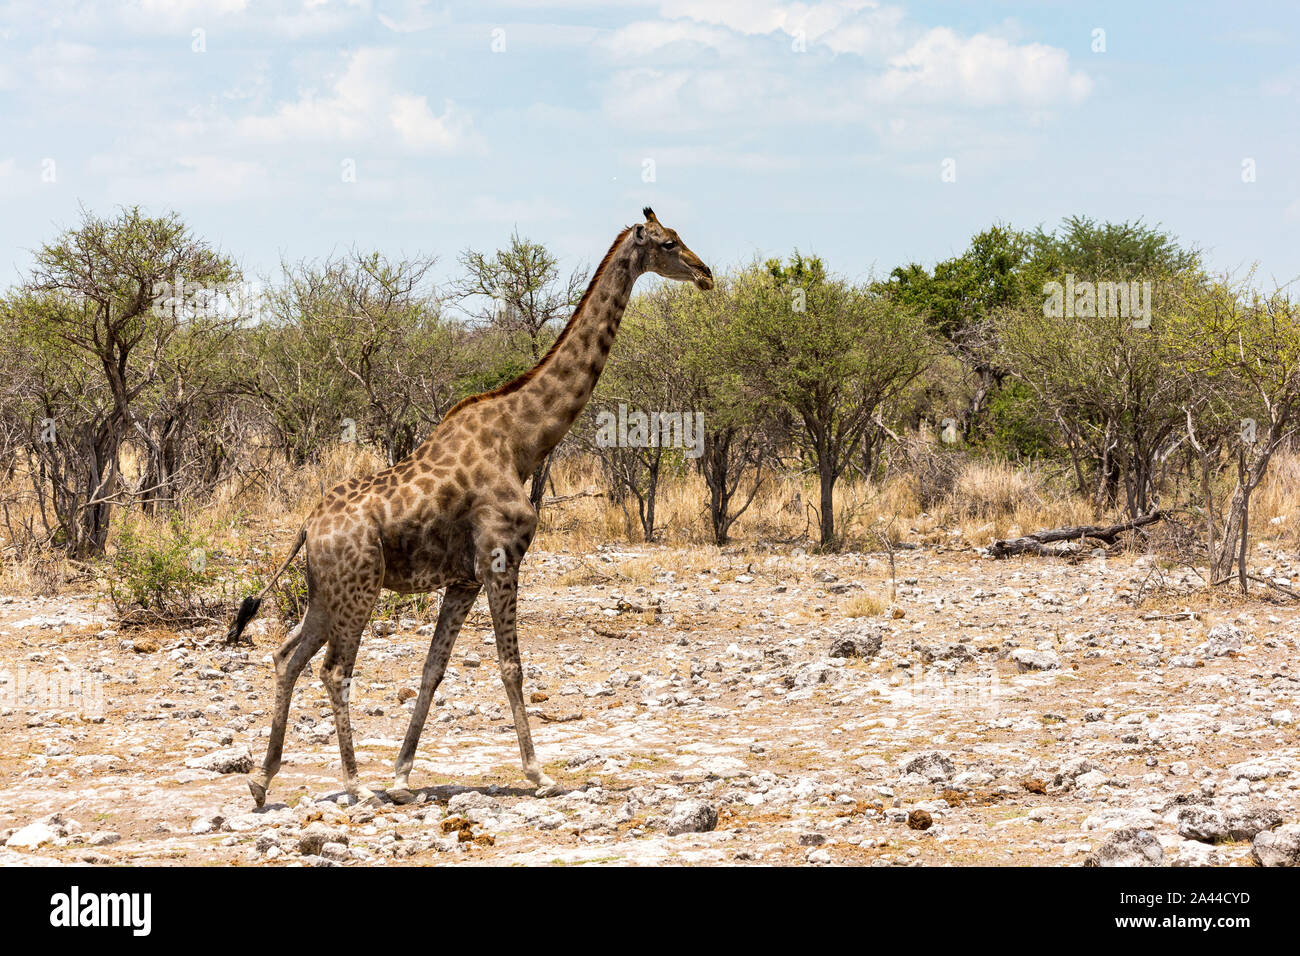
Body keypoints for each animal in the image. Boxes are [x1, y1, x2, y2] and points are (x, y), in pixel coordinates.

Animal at [227, 207, 713, 807]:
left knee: (286, 656)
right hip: (359, 589)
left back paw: (261, 779)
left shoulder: (463, 578)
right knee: (334, 670)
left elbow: (434, 668)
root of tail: (307, 526)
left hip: (326, 593)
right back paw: (353, 783)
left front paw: (403, 776)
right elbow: (511, 666)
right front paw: (538, 774)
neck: (523, 441)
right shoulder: (502, 560)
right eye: (668, 243)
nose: (705, 272)